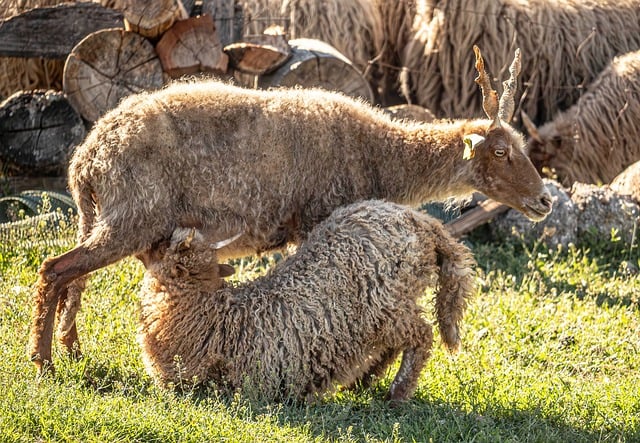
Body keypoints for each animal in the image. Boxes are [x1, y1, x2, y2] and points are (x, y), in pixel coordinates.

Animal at [28, 46, 552, 374]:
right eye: (501, 152)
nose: (545, 201)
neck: (380, 154)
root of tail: (86, 157)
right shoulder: (319, 219)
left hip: (107, 220)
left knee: (75, 278)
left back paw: (72, 351)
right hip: (130, 218)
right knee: (55, 270)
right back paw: (44, 361)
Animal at [137, 200, 476, 402]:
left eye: (168, 247)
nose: (170, 232)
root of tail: (419, 220)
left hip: (387, 307)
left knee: (422, 335)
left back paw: (397, 393)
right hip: (387, 314)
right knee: (395, 345)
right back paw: (362, 382)